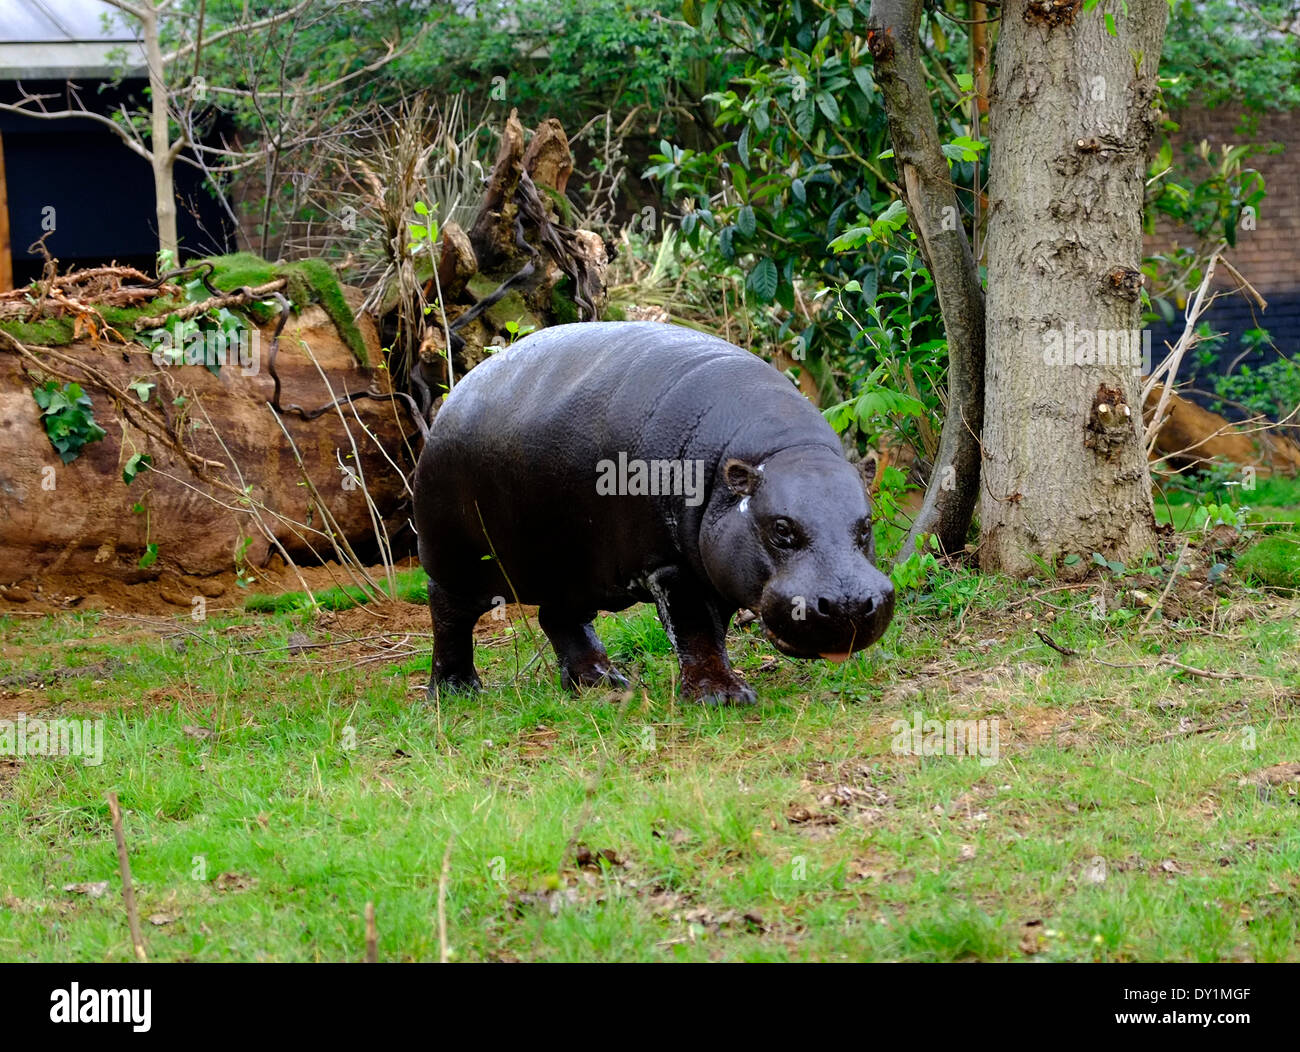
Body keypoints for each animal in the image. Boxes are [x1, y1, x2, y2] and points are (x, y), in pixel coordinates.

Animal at [413, 321, 895, 704]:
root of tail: (456, 392)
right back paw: (456, 692)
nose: (850, 603)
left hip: (575, 567)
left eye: (866, 526)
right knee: (450, 619)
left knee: (560, 619)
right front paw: (722, 698)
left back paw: (605, 682)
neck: (776, 451)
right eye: (780, 529)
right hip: (457, 561)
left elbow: (707, 633)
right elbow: (696, 630)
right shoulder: (670, 565)